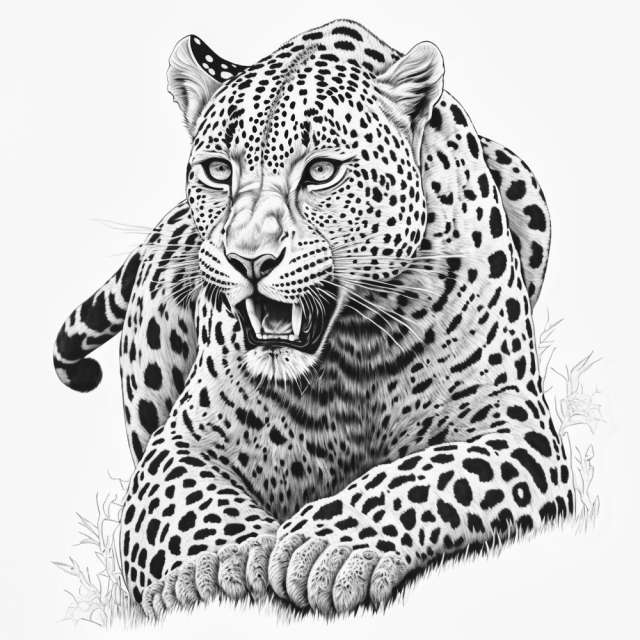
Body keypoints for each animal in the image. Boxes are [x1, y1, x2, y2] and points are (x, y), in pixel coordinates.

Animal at [54, 19, 567, 618]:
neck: (352, 353)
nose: (249, 258)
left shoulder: (517, 427)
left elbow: (425, 478)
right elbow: (185, 502)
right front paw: (219, 564)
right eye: (218, 170)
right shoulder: (180, 441)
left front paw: (324, 547)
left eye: (321, 171)